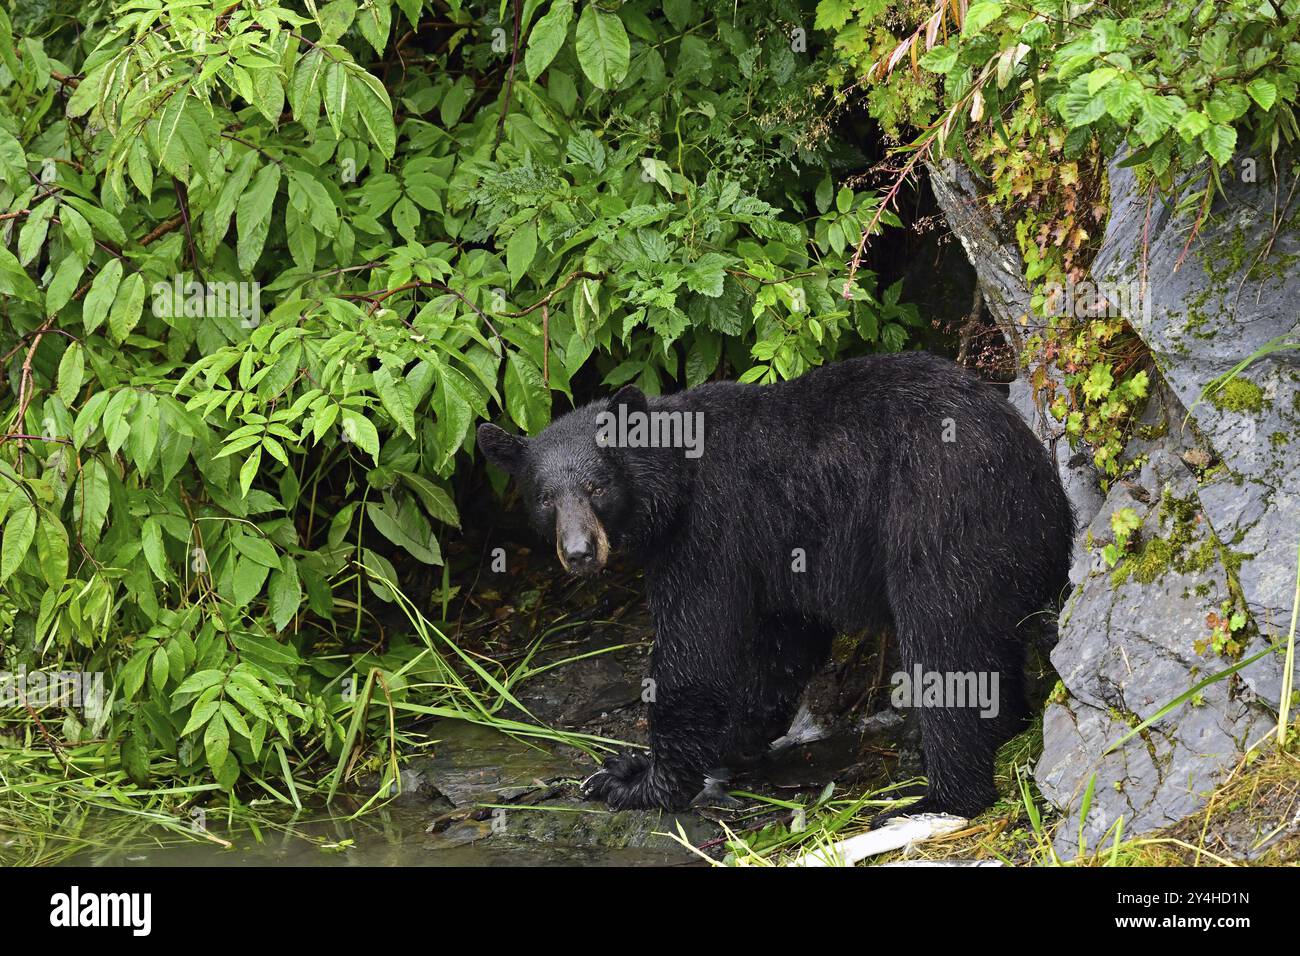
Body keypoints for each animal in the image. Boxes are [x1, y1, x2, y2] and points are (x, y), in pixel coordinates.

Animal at [477, 351, 1075, 821]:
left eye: (597, 487)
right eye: (545, 498)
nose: (580, 553)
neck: (675, 477)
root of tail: (1043, 492)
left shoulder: (712, 530)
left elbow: (696, 652)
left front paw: (640, 782)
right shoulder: (777, 555)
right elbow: (781, 649)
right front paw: (701, 752)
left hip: (942, 522)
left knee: (944, 645)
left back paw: (940, 799)